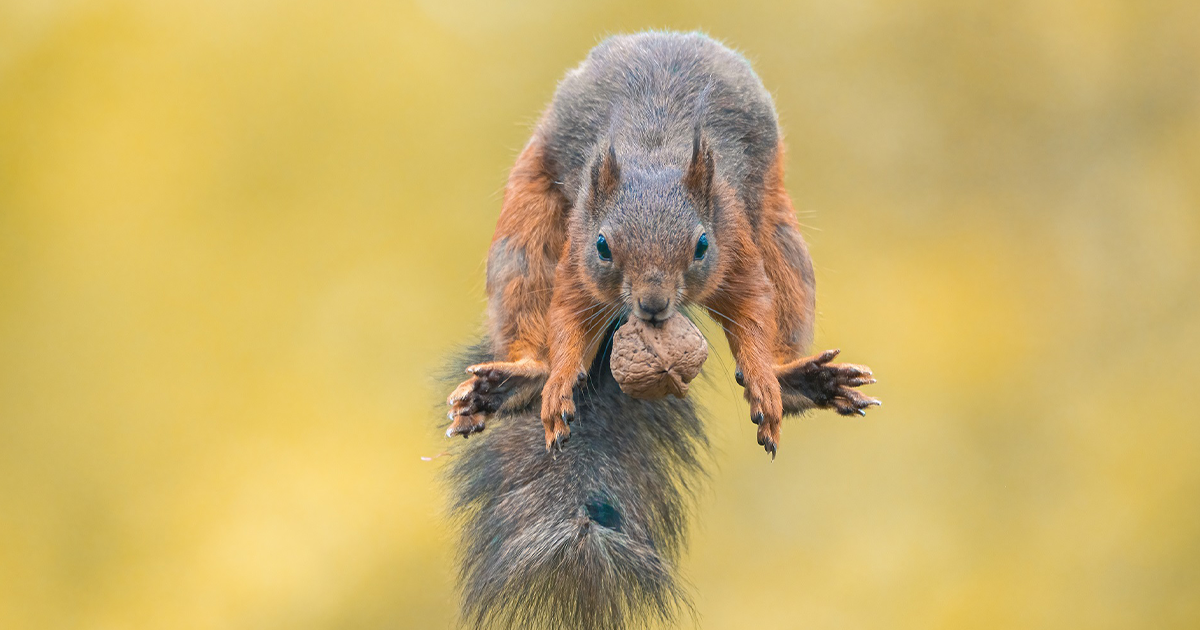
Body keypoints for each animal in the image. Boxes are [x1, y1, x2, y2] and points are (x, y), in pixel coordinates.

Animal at [443, 32, 880, 629]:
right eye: (604, 245)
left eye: (701, 244)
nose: (651, 304)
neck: (653, 155)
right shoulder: (577, 254)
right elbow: (568, 317)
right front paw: (559, 385)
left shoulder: (735, 240)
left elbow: (753, 307)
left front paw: (763, 381)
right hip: (527, 224)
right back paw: (521, 378)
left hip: (777, 228)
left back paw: (795, 380)